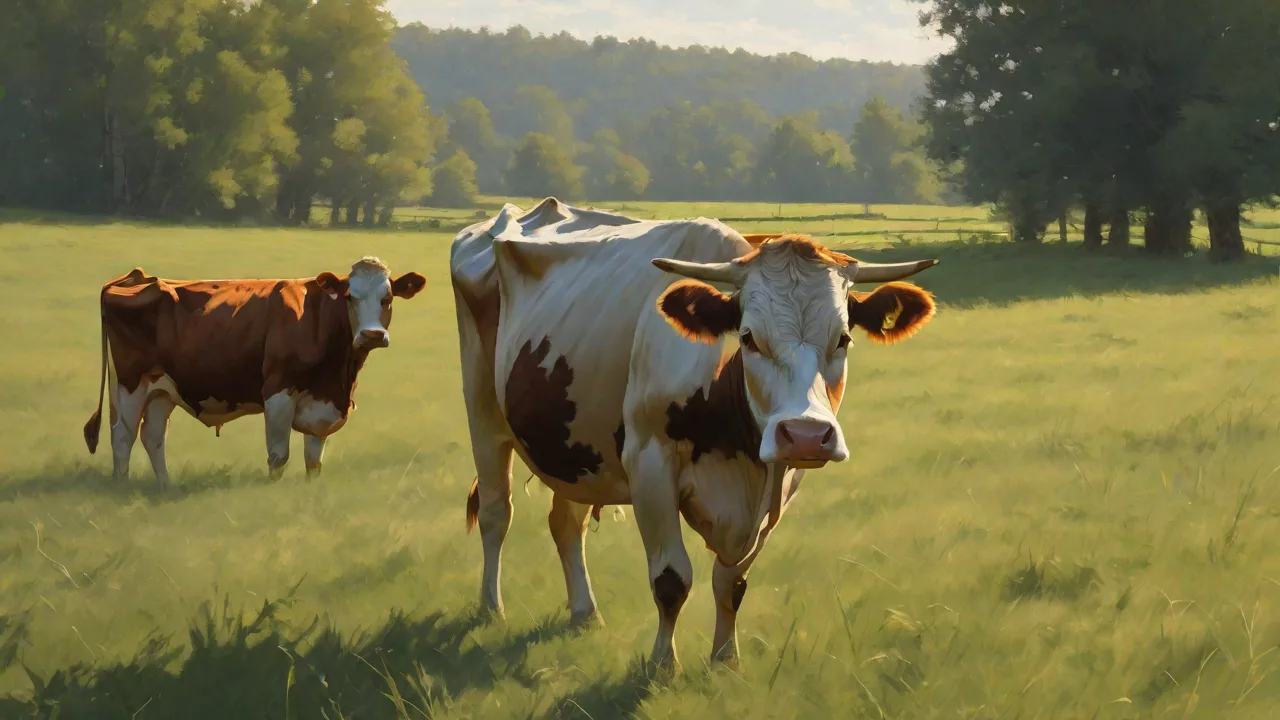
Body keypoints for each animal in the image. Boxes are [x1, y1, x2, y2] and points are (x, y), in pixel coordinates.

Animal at [82, 257, 426, 487]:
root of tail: (135, 278)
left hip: (162, 389)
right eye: (350, 297)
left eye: (387, 298)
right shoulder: (278, 392)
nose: (371, 335)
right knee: (123, 436)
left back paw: (165, 487)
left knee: (153, 435)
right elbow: (278, 455)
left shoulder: (321, 404)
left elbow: (313, 461)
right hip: (131, 384)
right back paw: (122, 486)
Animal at [450, 198, 938, 674]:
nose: (804, 434)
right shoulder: (649, 466)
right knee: (496, 511)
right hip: (481, 410)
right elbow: (671, 579)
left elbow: (731, 582)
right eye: (748, 337)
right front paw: (662, 665)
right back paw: (492, 607)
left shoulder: (781, 484)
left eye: (843, 339)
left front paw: (725, 659)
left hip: (574, 446)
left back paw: (584, 613)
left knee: (566, 522)